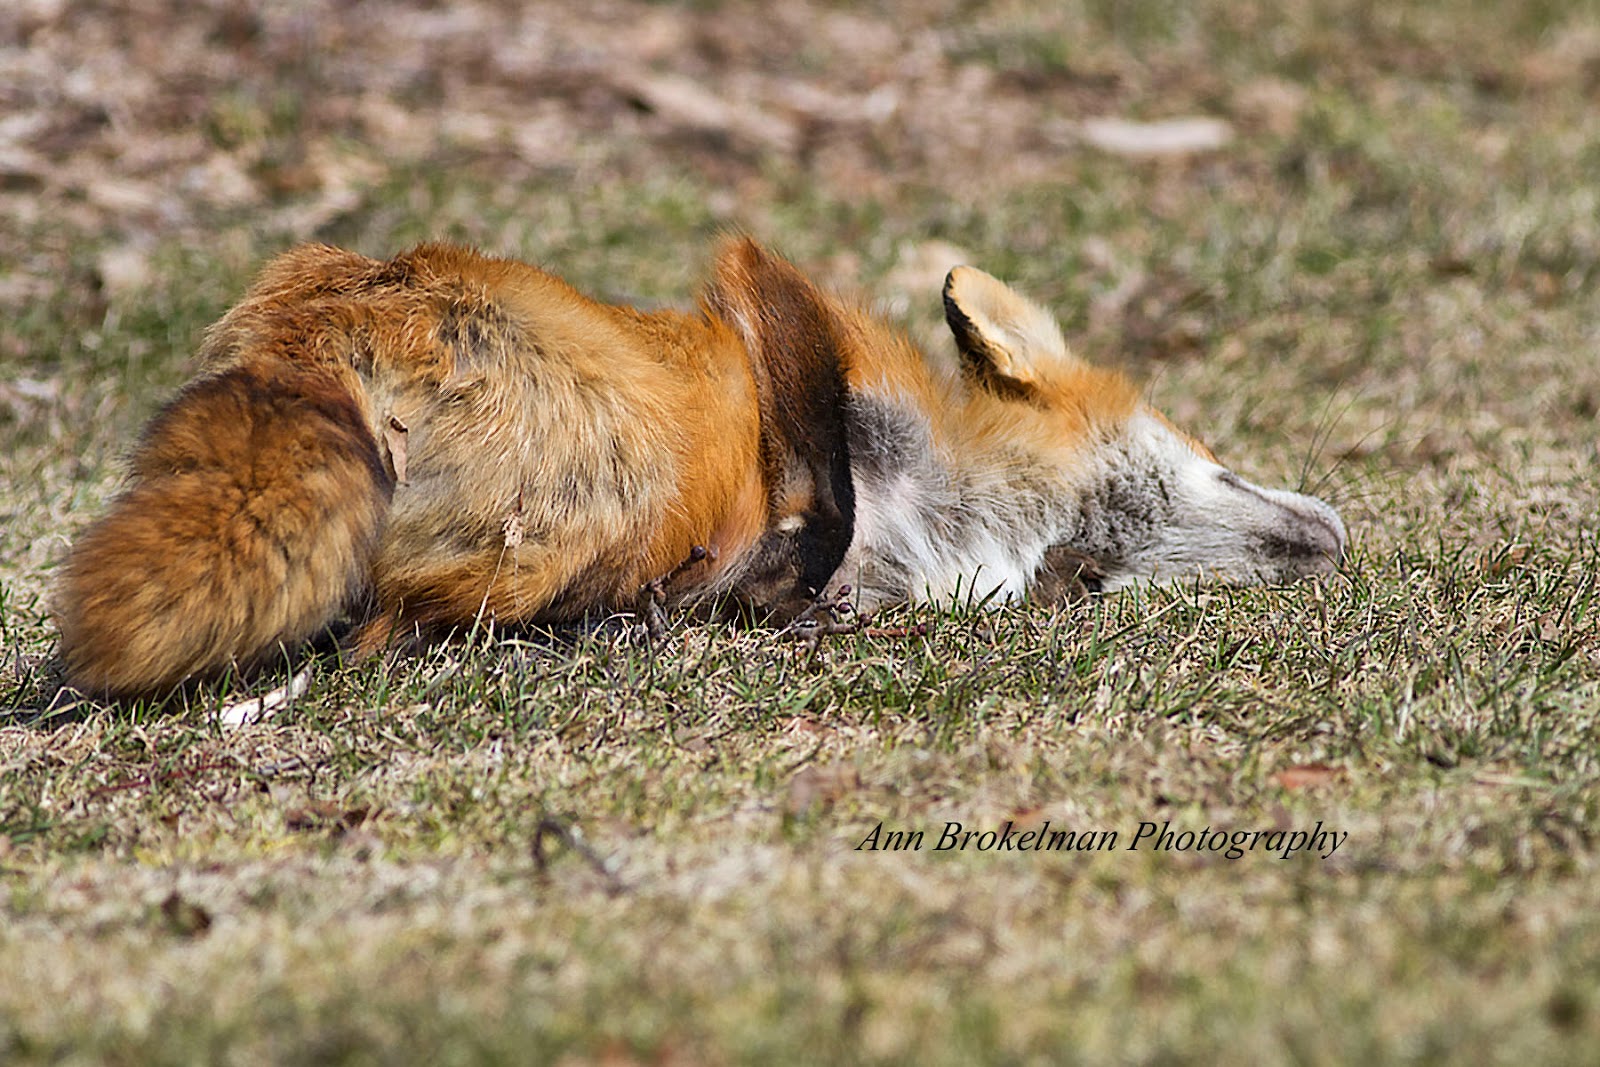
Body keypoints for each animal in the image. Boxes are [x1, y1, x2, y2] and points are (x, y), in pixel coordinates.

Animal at [53, 238, 1344, 700]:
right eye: (1212, 462)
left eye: (1100, 577)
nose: (1333, 538)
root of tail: (323, 307)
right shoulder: (791, 331)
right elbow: (810, 484)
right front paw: (780, 590)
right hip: (610, 475)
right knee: (396, 630)